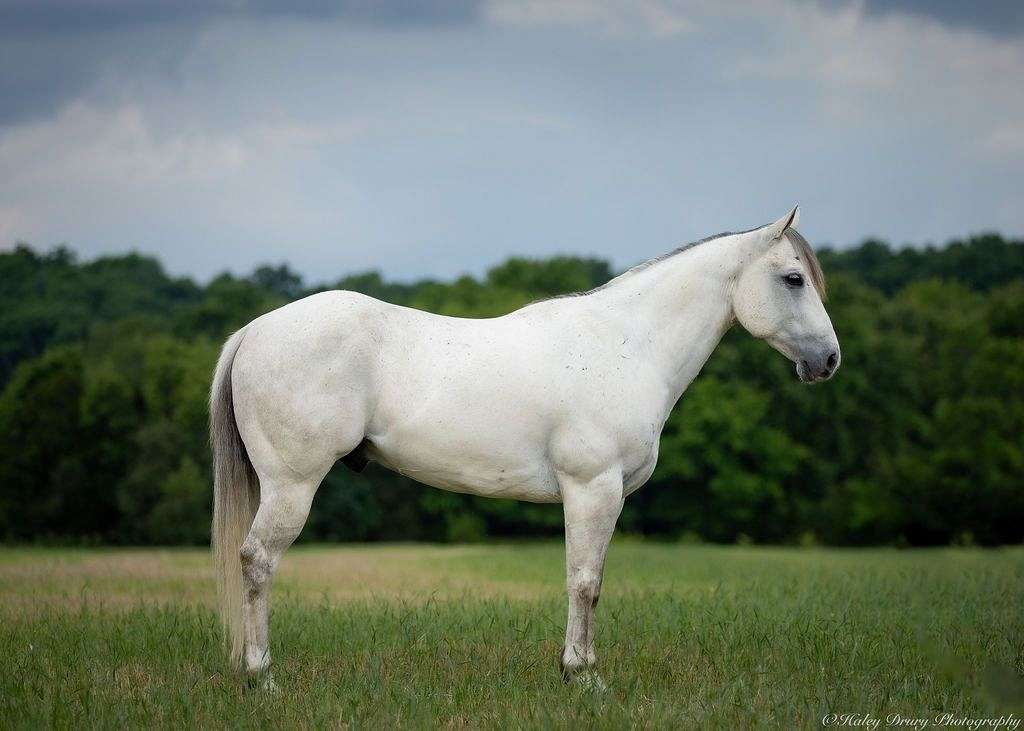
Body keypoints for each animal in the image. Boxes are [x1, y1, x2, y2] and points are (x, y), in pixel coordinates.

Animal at [210, 206, 839, 689]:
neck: (627, 345)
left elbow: (591, 582)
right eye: (793, 279)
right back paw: (261, 677)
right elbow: (584, 581)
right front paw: (583, 677)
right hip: (292, 485)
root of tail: (254, 330)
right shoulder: (592, 489)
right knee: (258, 561)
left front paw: (578, 670)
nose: (828, 360)